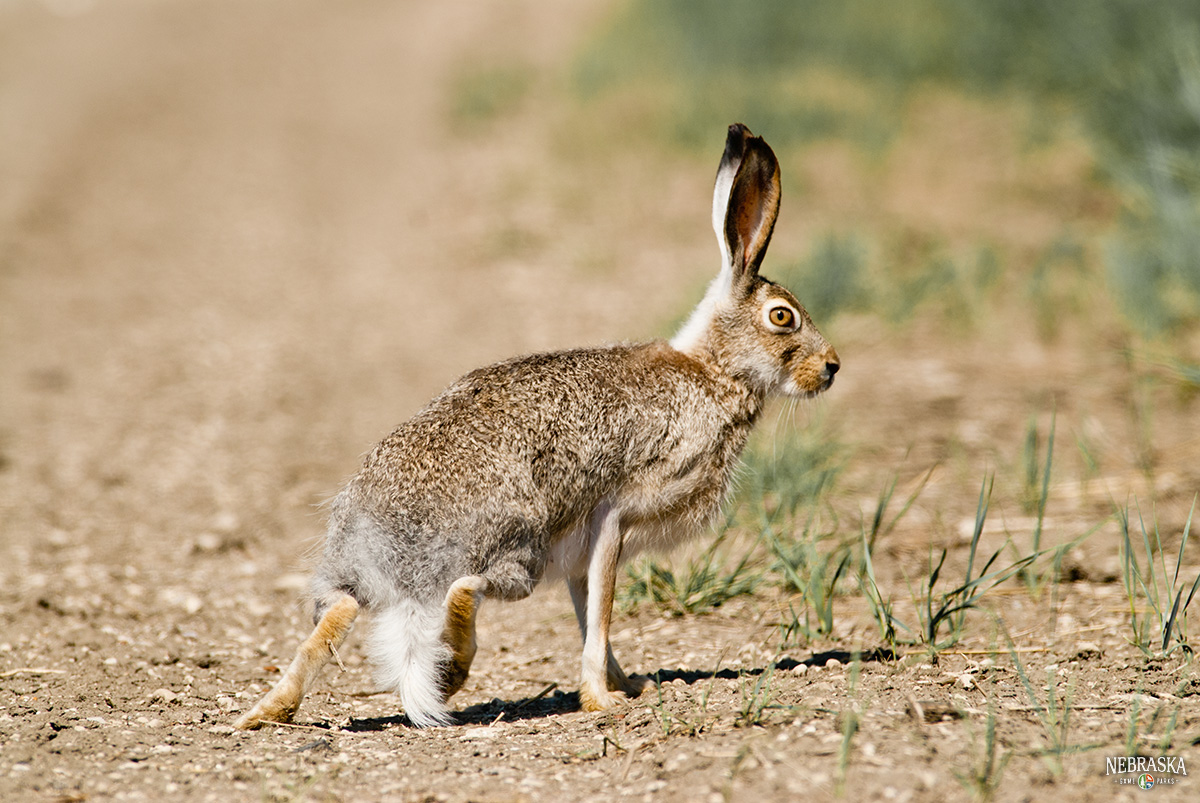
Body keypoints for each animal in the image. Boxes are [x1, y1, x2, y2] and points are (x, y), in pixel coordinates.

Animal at [235, 123, 840, 730]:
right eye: (782, 317)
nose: (832, 367)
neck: (715, 369)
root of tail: (396, 559)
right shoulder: (616, 517)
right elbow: (600, 614)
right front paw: (601, 700)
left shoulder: (578, 556)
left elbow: (587, 613)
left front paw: (630, 686)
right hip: (521, 546)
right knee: (464, 588)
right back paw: (450, 673)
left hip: (359, 571)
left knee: (338, 610)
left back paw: (267, 711)